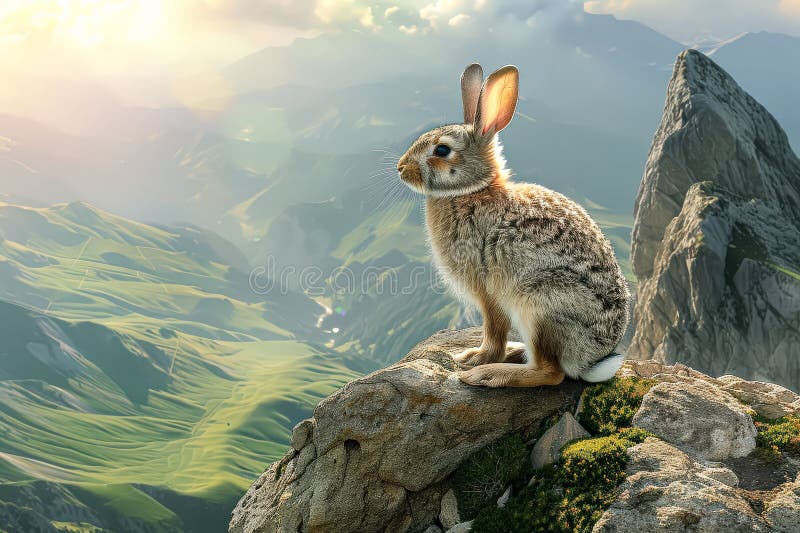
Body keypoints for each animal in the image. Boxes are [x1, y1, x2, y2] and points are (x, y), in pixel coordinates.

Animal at [396, 63, 629, 388]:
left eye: (441, 150)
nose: (401, 168)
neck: (472, 190)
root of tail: (592, 360)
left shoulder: (488, 290)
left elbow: (493, 330)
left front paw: (475, 359)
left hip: (539, 304)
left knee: (551, 372)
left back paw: (488, 374)